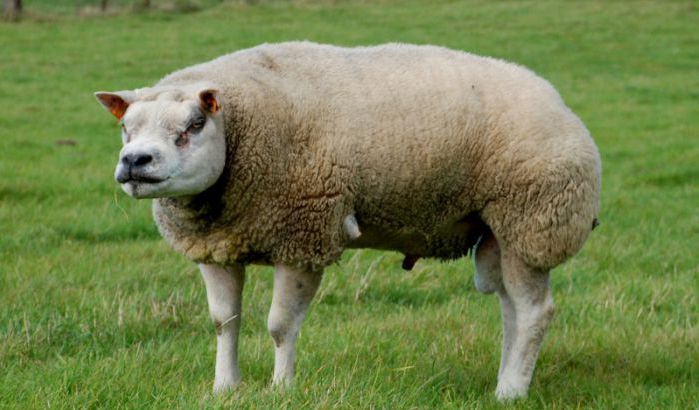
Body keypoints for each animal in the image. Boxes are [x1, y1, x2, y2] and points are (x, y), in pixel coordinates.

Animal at [95, 41, 601, 401]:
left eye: (194, 124)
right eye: (125, 128)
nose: (135, 161)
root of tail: (561, 104)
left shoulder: (303, 234)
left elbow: (280, 326)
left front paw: (281, 388)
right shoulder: (219, 247)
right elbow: (224, 322)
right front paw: (225, 387)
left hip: (532, 221)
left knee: (534, 312)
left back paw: (510, 391)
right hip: (497, 232)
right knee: (511, 310)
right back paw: (506, 382)